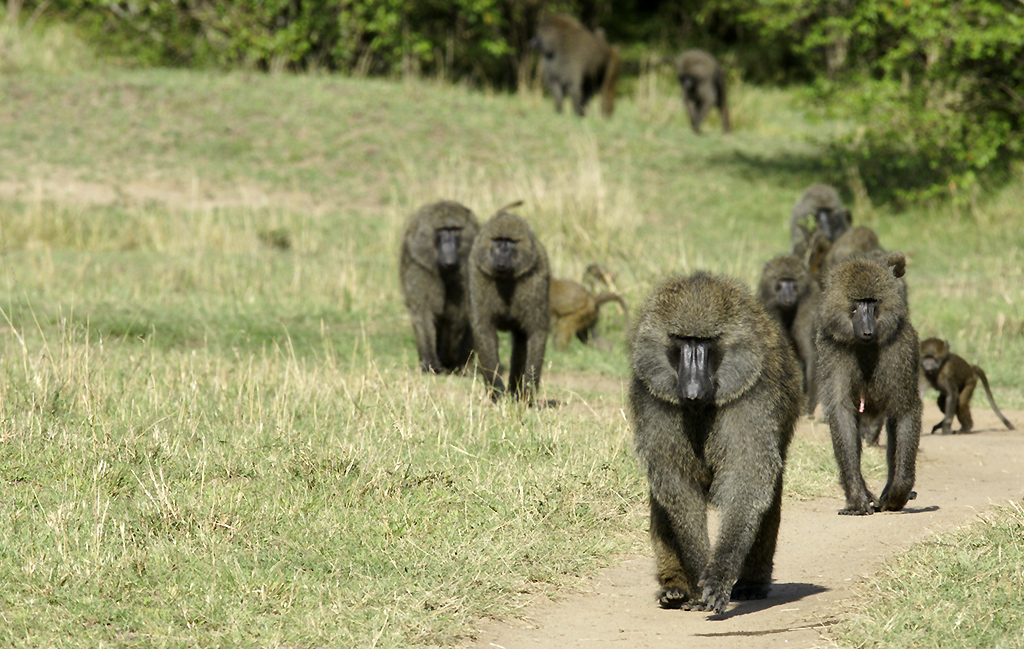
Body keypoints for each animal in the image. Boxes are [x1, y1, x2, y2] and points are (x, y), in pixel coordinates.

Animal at [399, 201, 480, 374]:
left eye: (455, 229)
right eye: (442, 230)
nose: (448, 250)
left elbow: (465, 313)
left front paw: (458, 363)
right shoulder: (419, 264)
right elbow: (422, 311)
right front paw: (430, 364)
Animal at [469, 208, 551, 401]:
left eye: (511, 242)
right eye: (498, 240)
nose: (501, 259)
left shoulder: (535, 277)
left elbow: (536, 331)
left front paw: (527, 391)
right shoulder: (479, 273)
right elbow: (484, 329)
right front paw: (497, 391)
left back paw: (516, 392)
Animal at [629, 272, 801, 613]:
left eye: (706, 342)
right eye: (682, 340)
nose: (692, 391)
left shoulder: (753, 394)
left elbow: (746, 479)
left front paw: (720, 574)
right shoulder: (653, 395)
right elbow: (676, 482)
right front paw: (698, 575)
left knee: (768, 495)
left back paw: (751, 584)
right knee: (661, 494)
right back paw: (675, 588)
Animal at [757, 254, 821, 415]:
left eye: (792, 282)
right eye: (782, 282)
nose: (788, 297)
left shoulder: (809, 312)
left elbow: (811, 355)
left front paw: (809, 407)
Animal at [816, 252, 922, 515]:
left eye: (872, 302)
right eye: (857, 302)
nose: (866, 331)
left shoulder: (899, 348)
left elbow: (905, 410)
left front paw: (897, 493)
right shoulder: (831, 348)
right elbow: (841, 412)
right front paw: (857, 497)